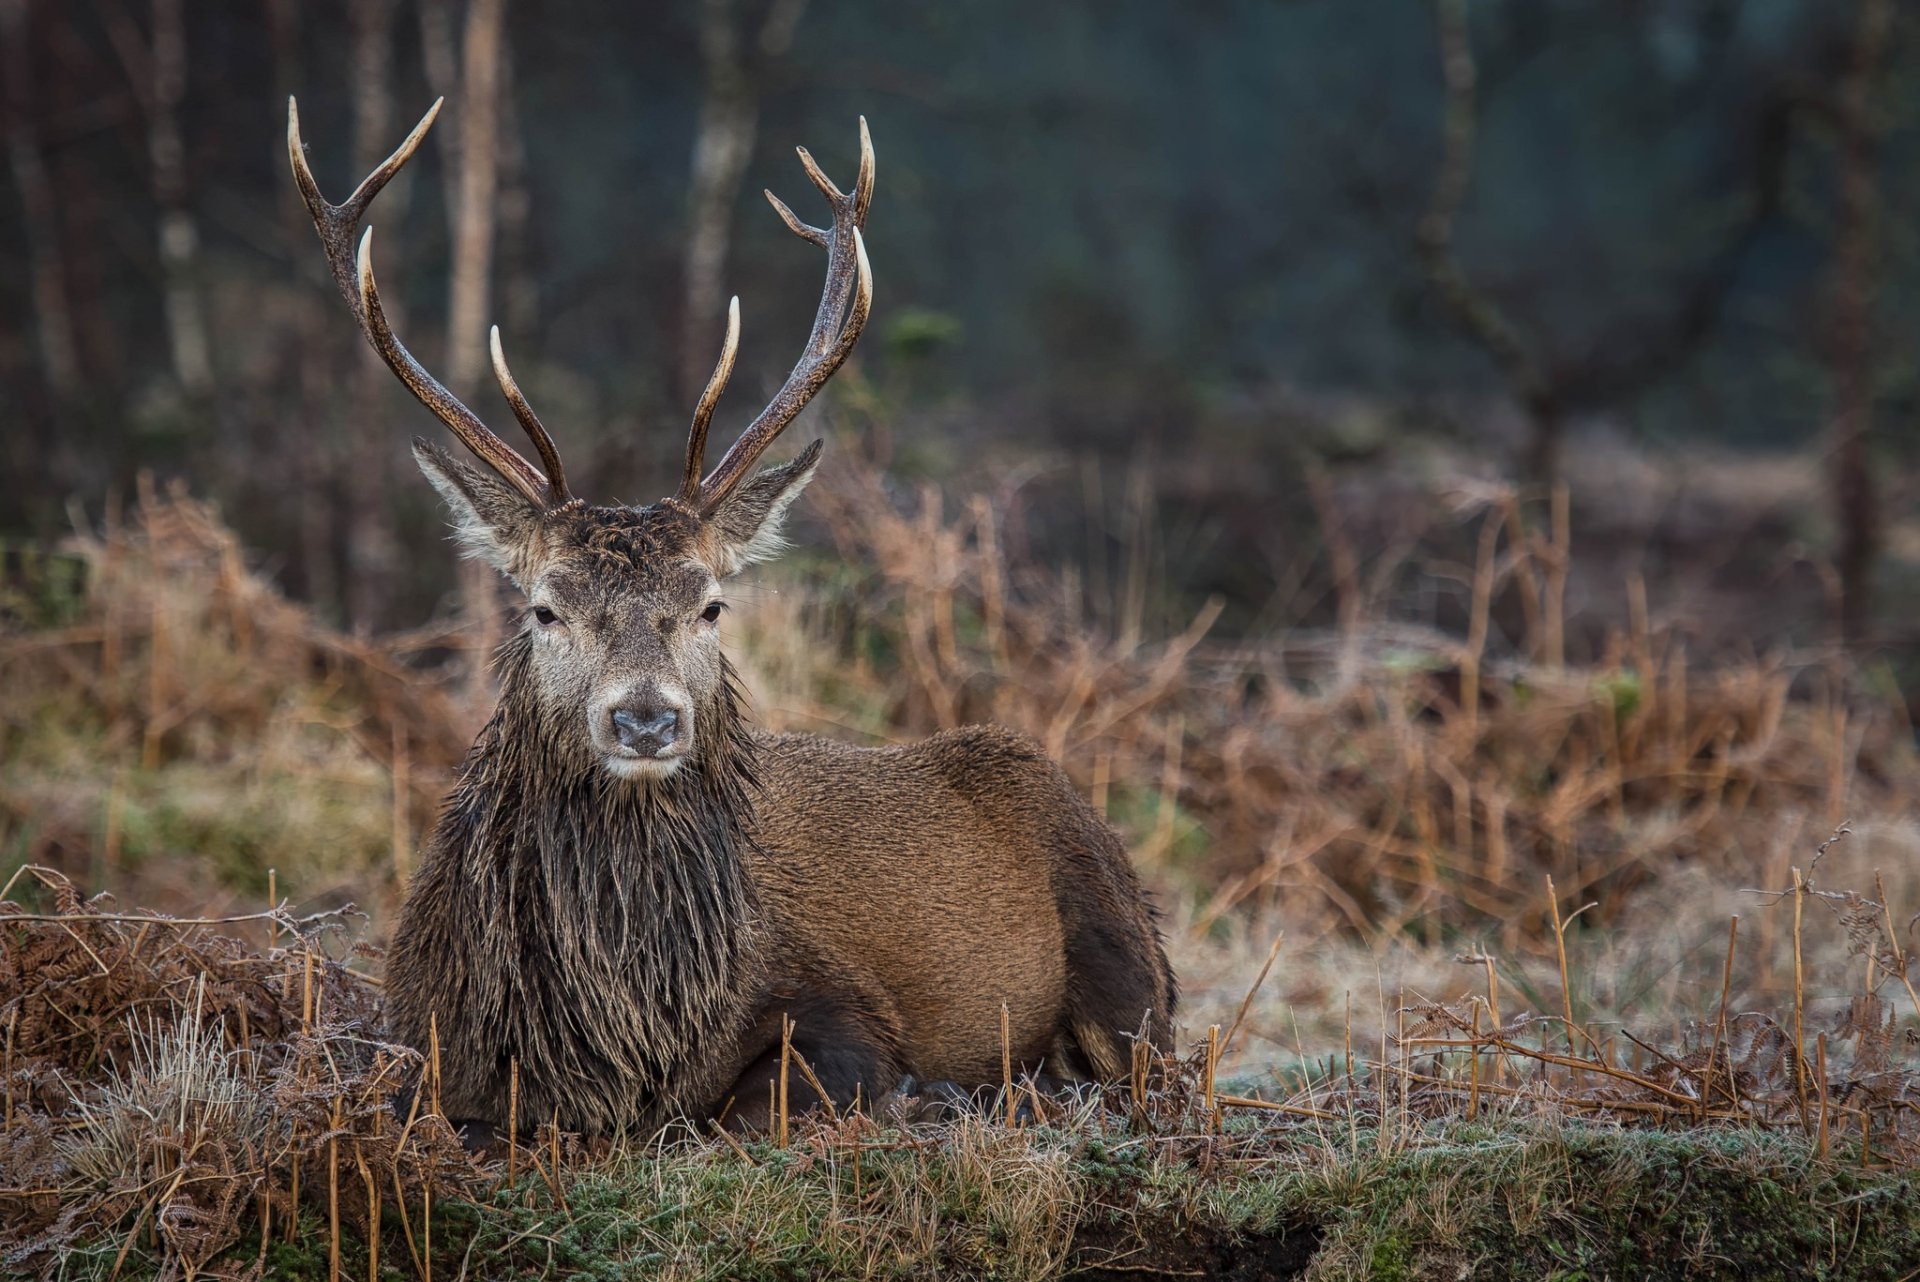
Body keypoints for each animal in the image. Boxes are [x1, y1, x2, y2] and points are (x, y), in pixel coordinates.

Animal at [287, 96, 1175, 1137]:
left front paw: (932, 1091)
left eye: (710, 604)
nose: (645, 717)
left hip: (1125, 953)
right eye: (545, 609)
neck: (627, 1032)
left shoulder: (840, 1006)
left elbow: (752, 1105)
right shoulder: (425, 1038)